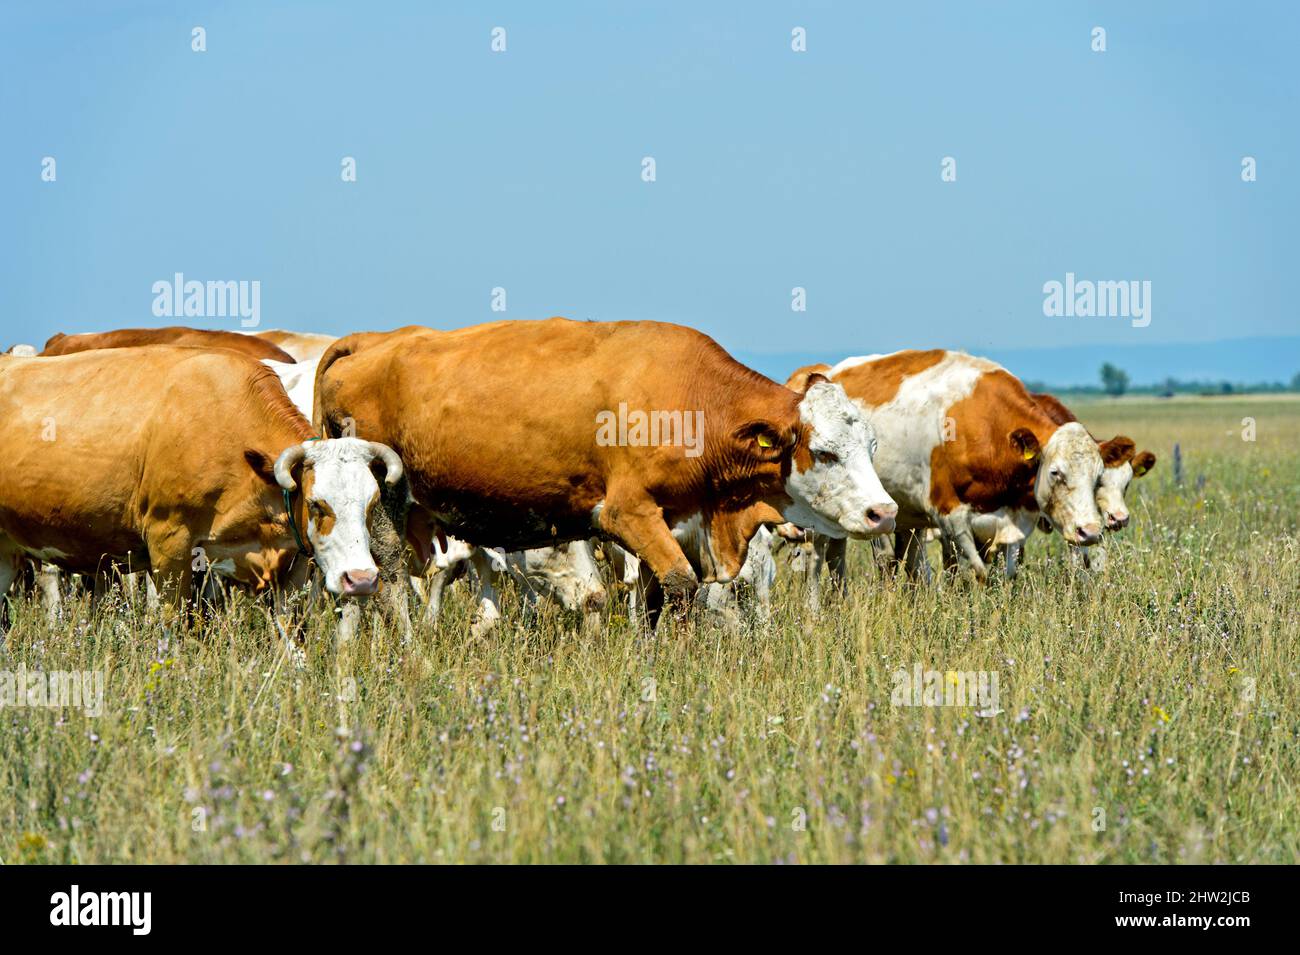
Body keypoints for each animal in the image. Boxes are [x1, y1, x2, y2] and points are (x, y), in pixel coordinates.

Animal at [0, 347, 403, 640]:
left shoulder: (292, 563)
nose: (362, 579)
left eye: (371, 505)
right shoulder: (168, 542)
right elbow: (173, 627)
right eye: (317, 505)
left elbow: (292, 639)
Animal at [313, 319, 897, 627]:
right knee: (389, 571)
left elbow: (659, 589)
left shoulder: (669, 517)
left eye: (870, 445)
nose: (884, 512)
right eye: (824, 452)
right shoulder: (625, 513)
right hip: (385, 496)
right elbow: (681, 583)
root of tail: (377, 338)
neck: (695, 401)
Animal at [784, 350, 1122, 586]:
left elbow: (1006, 572)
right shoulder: (949, 513)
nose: (1090, 532)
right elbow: (979, 571)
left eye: (1098, 478)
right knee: (866, 560)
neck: (987, 425)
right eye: (1056, 473)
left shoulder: (1011, 522)